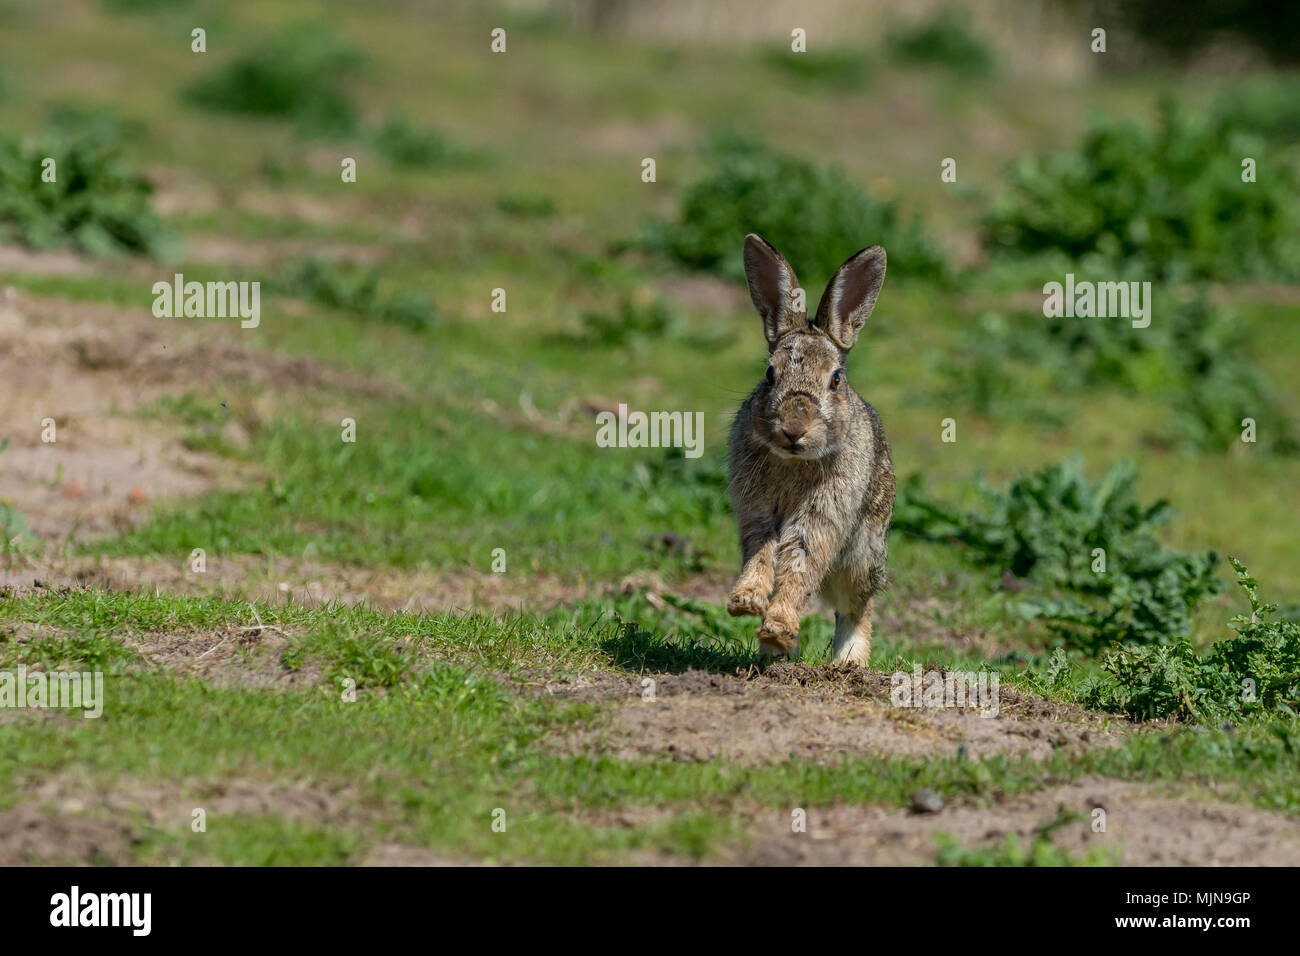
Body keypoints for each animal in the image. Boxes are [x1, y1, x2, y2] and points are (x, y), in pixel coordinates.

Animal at [726, 234, 895, 667]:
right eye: (770, 374)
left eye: (835, 379)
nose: (793, 430)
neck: (794, 461)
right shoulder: (758, 513)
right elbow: (762, 556)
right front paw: (745, 603)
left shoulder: (822, 516)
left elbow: (800, 566)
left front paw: (778, 625)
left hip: (863, 556)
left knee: (857, 607)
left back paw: (848, 664)